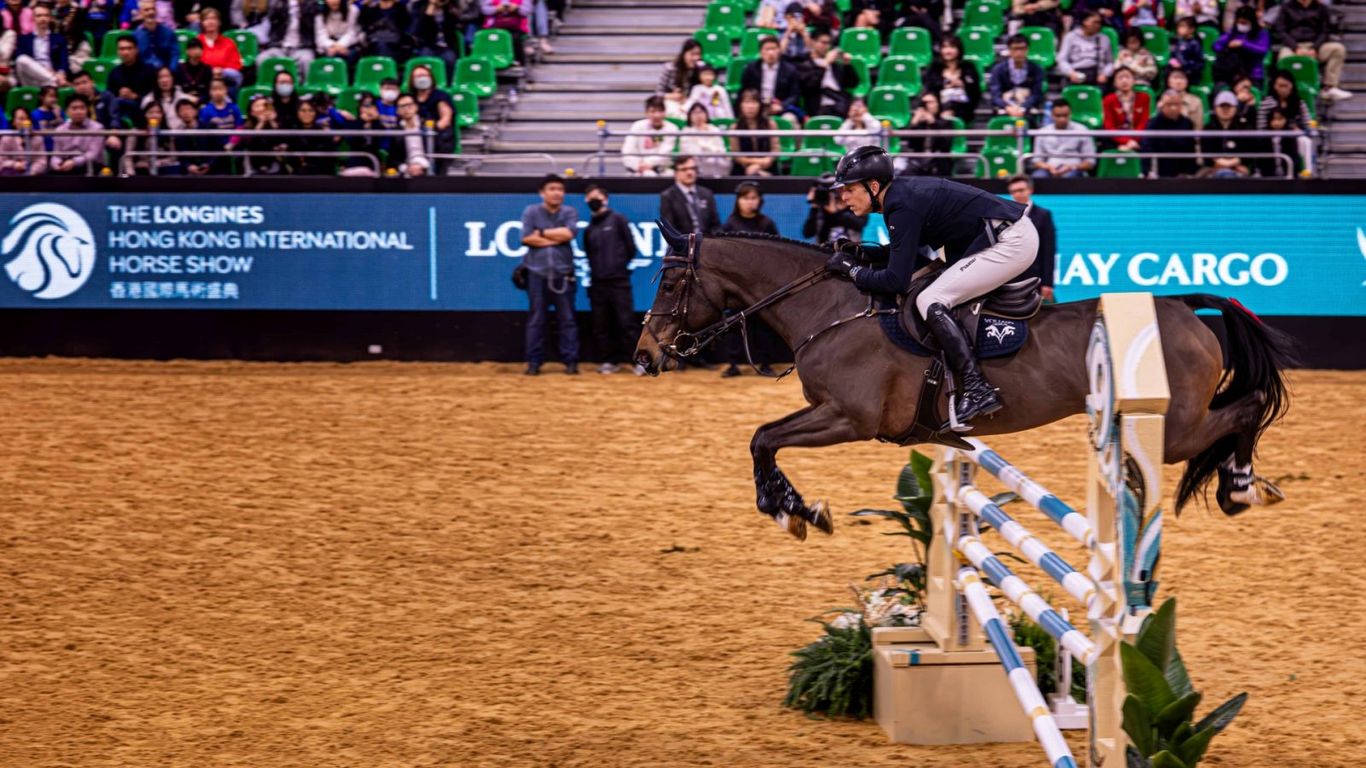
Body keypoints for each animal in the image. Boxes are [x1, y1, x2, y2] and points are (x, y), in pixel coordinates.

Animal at [634, 229, 1293, 541]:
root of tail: (1181, 305)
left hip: (1172, 427)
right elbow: (763, 439)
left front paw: (792, 510)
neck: (832, 309)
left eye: (670, 283)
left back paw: (1242, 488)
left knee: (1246, 408)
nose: (644, 357)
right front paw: (794, 509)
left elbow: (763, 438)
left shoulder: (849, 417)